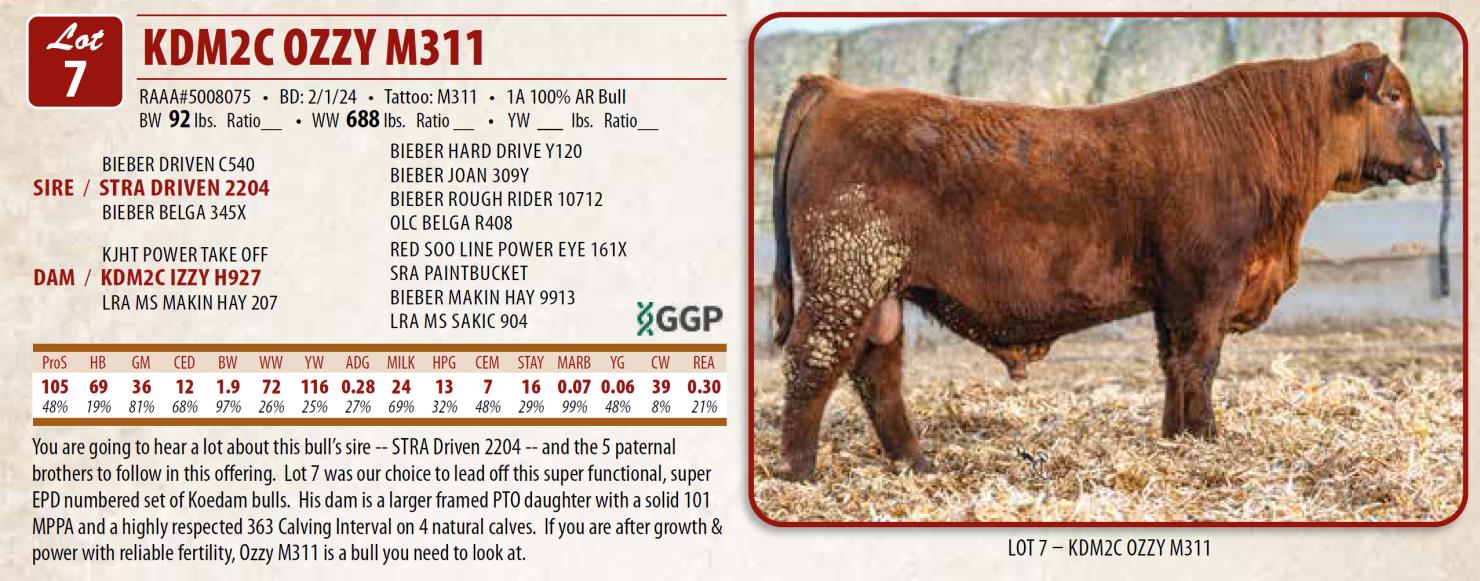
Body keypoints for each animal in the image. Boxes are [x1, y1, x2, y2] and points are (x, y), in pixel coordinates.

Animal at [769, 43, 1442, 481]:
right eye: (1391, 96)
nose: (1436, 160)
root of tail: (838, 90)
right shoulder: (1208, 287)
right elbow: (1201, 363)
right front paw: (1207, 440)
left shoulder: (1174, 297)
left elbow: (1174, 364)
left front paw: (1176, 438)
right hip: (844, 280)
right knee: (812, 364)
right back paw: (801, 475)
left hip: (878, 292)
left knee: (875, 373)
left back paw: (918, 464)